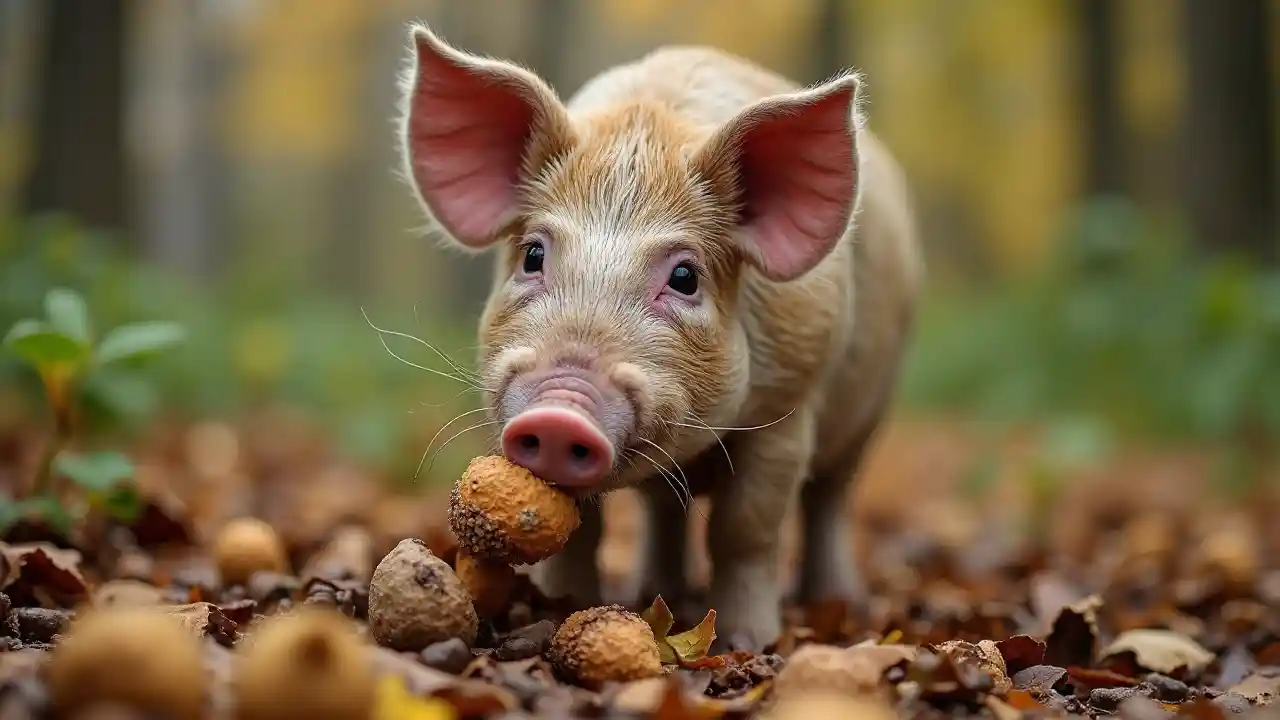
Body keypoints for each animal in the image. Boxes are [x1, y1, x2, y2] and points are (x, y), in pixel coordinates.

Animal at [396, 22, 924, 650]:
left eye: (685, 277)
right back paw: (654, 592)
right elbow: (582, 528)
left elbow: (745, 529)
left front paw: (749, 643)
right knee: (664, 511)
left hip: (870, 415)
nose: (560, 411)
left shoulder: (791, 405)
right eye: (533, 255)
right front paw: (561, 606)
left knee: (828, 499)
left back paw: (833, 599)